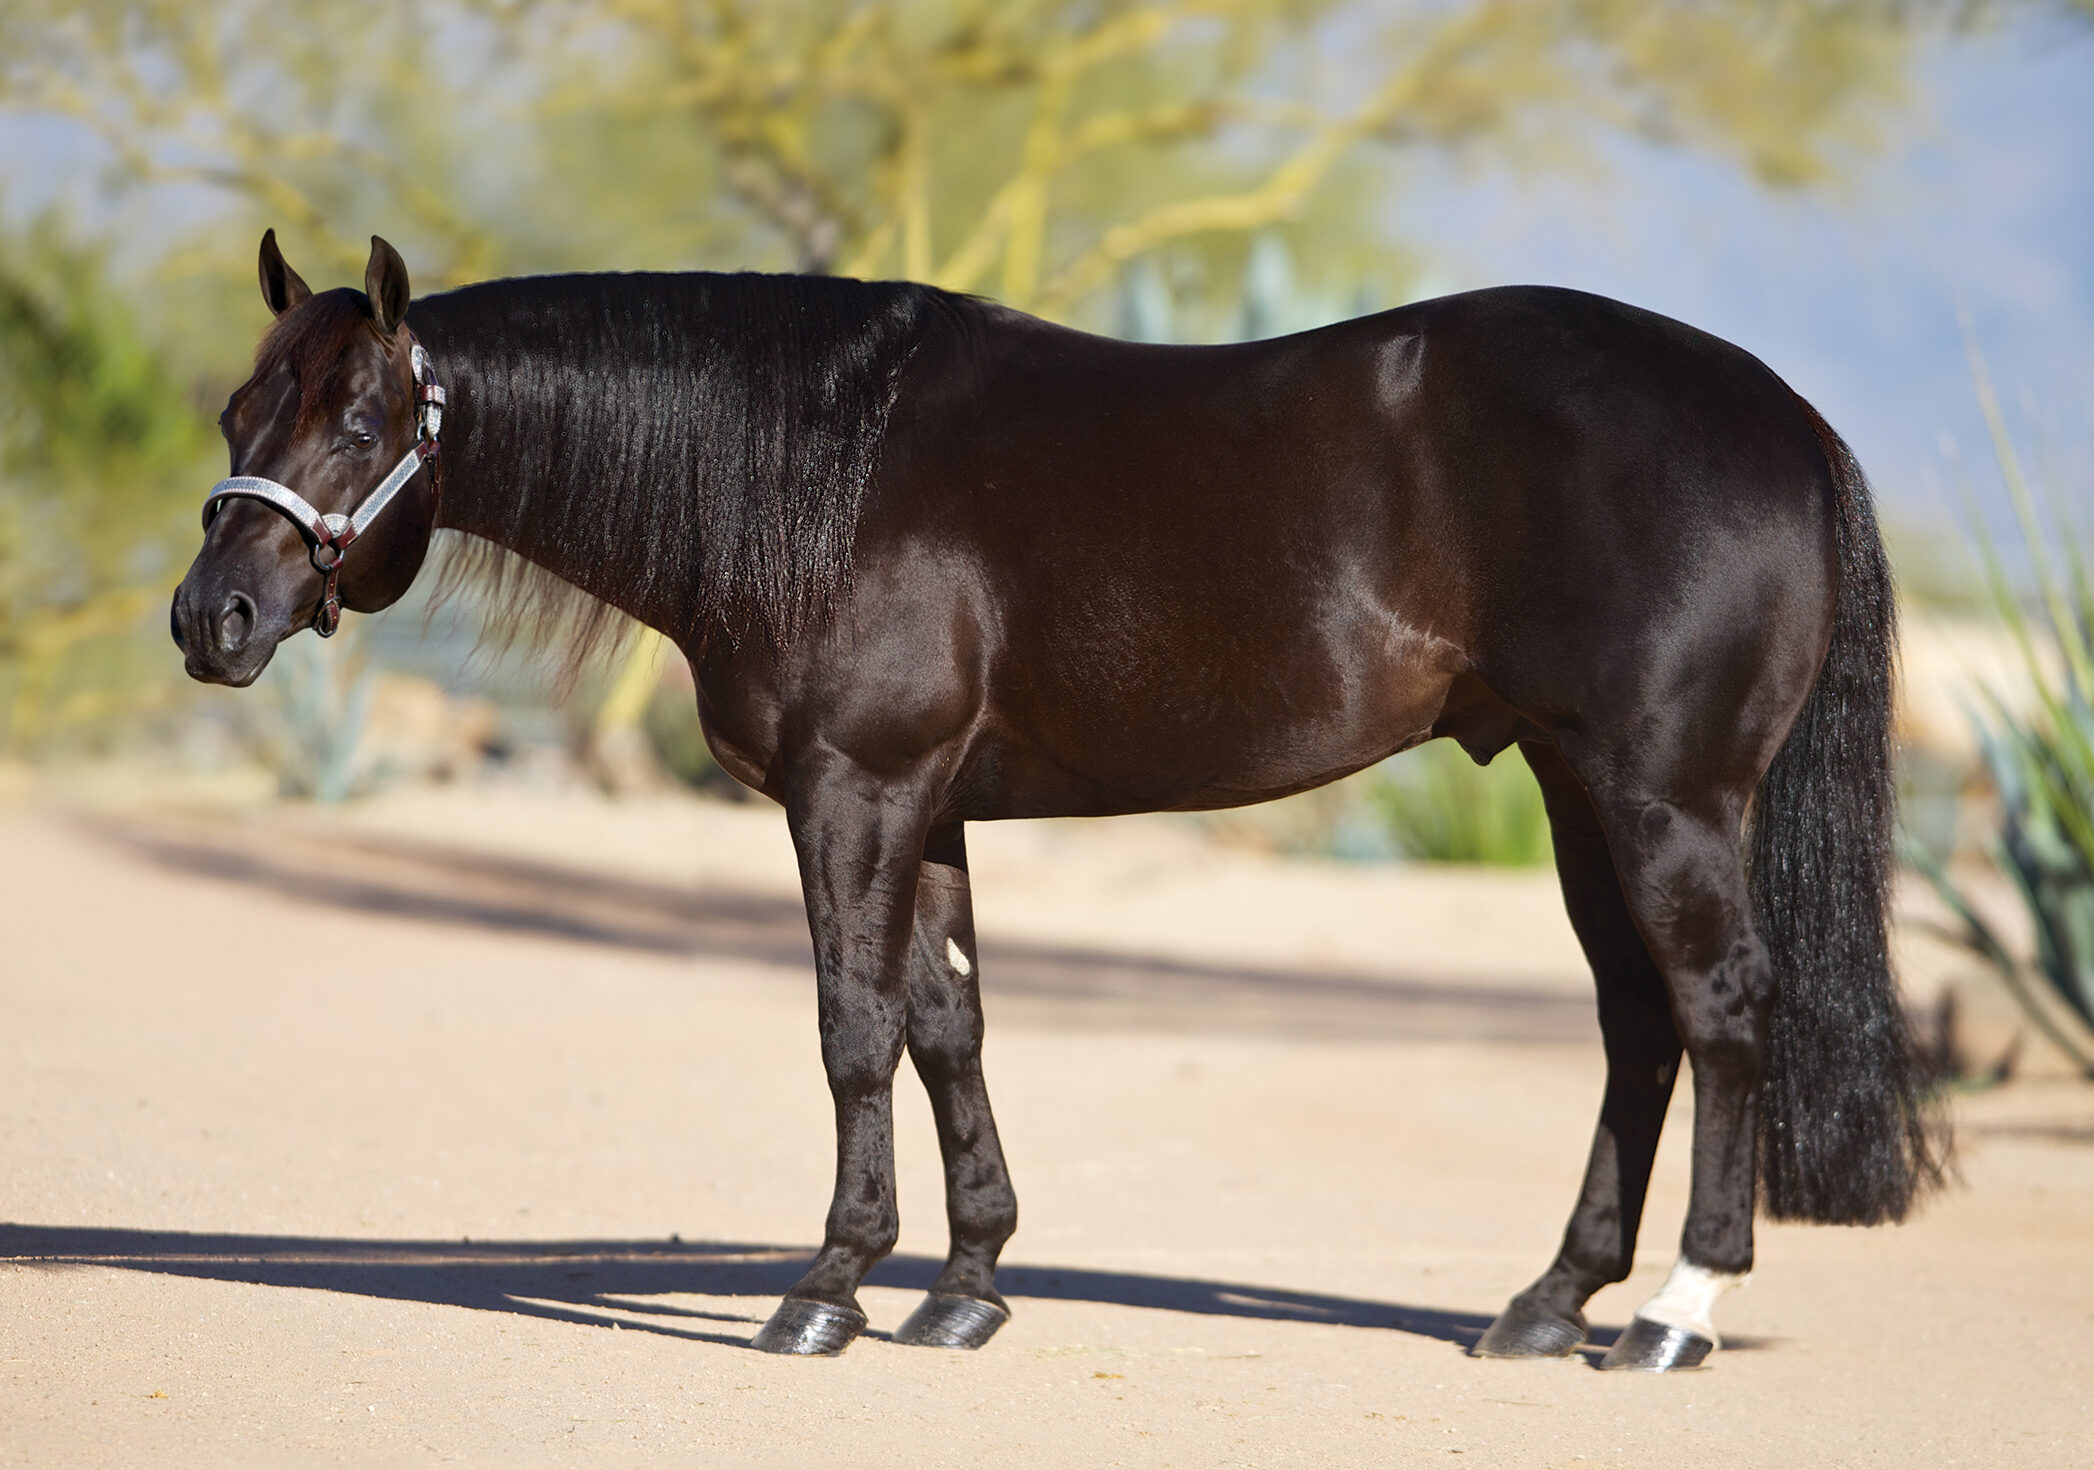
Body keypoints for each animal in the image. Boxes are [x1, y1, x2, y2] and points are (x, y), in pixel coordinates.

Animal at [172, 231, 1944, 1370]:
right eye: (238, 413)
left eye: (362, 418)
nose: (212, 620)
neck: (819, 472)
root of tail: (1781, 414)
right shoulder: (931, 807)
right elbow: (947, 1024)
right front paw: (964, 1283)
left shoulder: (854, 791)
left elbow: (851, 1028)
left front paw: (828, 1286)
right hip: (1579, 791)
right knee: (1637, 1026)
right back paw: (1547, 1302)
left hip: (1665, 794)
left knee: (1719, 1010)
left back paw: (1669, 1316)